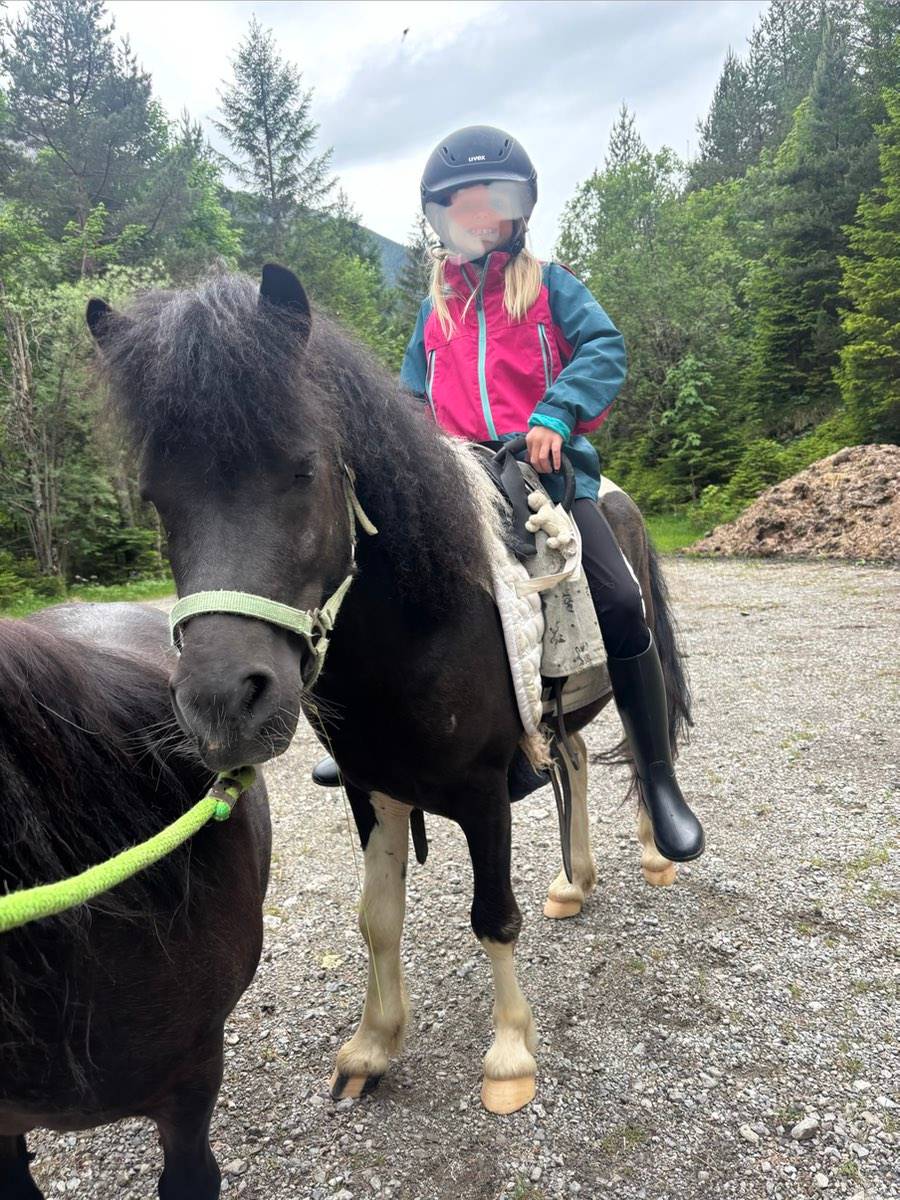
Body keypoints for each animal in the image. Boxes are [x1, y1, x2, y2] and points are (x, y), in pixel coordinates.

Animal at [86, 264, 692, 1115]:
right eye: (156, 497)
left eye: (302, 469)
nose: (221, 704)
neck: (428, 620)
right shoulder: (371, 788)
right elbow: (376, 918)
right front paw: (373, 1046)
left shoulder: (482, 791)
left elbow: (493, 917)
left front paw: (509, 1056)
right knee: (572, 758)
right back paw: (574, 883)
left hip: (636, 649)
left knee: (644, 742)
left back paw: (659, 847)